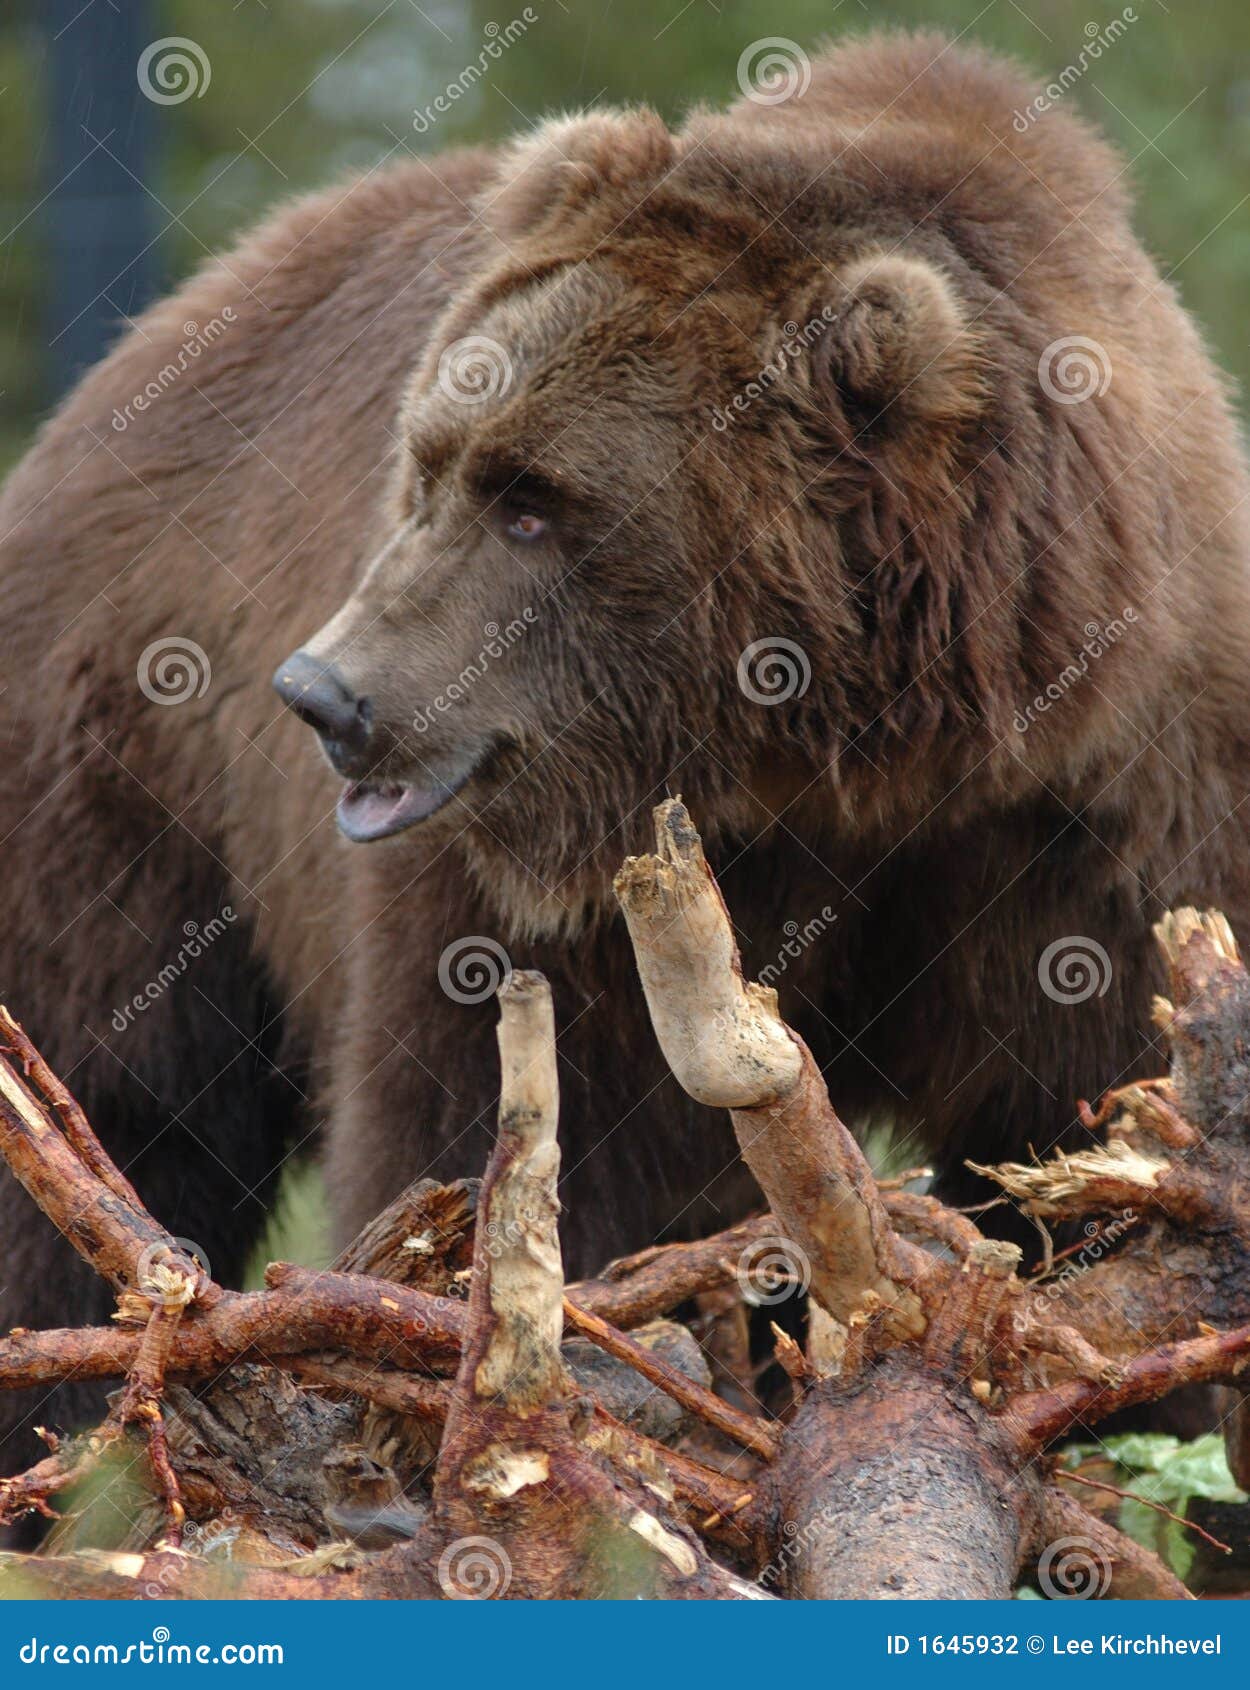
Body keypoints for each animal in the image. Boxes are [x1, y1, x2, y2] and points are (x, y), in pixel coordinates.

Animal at [1, 32, 1248, 1479]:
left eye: (536, 502)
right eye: (429, 460)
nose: (325, 694)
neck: (847, 767)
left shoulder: (1096, 824)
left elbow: (1100, 1148)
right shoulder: (558, 907)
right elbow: (537, 1150)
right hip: (124, 760)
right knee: (109, 1089)